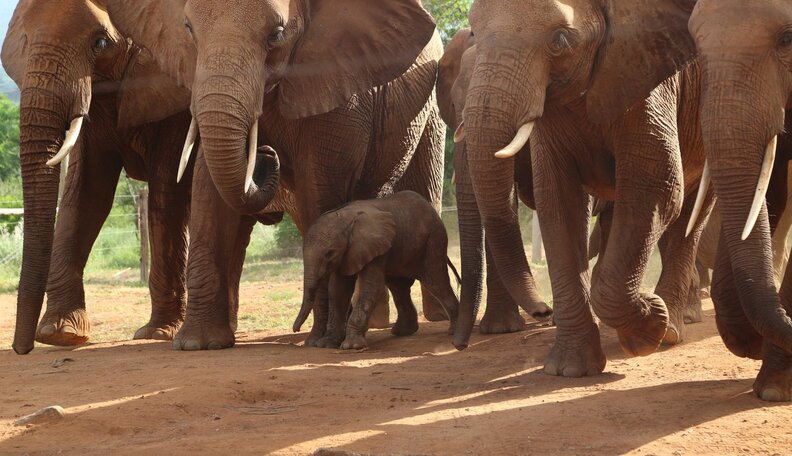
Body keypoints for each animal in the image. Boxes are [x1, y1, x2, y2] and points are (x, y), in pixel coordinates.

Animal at [294, 191, 459, 349]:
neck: (346, 219)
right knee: (399, 287)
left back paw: (452, 331)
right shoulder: (348, 253)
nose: (296, 329)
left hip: (434, 239)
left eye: (330, 253)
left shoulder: (376, 247)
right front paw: (326, 344)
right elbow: (337, 290)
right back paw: (402, 332)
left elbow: (370, 287)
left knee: (435, 281)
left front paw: (351, 346)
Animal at [454, 0, 714, 377]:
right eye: (473, 29)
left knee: (690, 217)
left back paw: (671, 331)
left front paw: (648, 329)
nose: (543, 311)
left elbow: (656, 184)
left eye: (560, 40)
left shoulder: (646, 70)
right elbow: (558, 201)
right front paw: (570, 370)